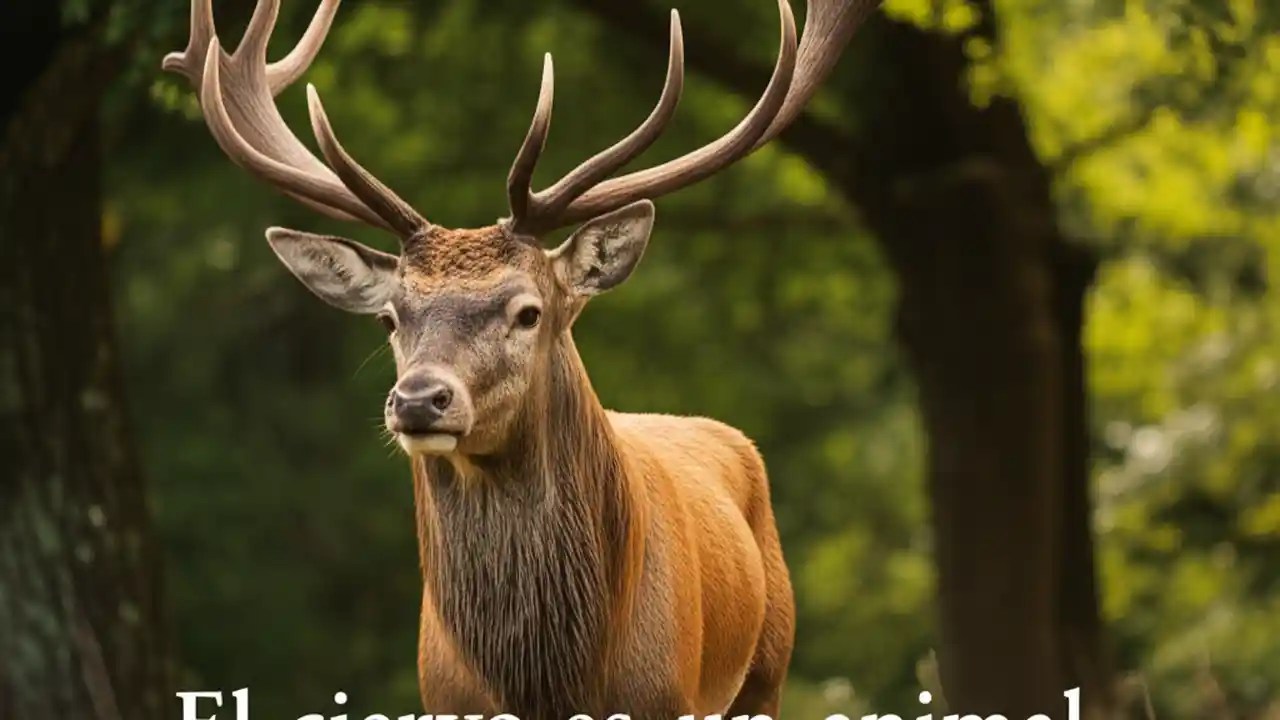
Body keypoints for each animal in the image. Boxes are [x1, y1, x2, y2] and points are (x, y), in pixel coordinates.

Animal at [163, 0, 876, 716]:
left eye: (529, 312)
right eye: (391, 318)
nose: (419, 399)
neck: (546, 684)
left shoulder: (664, 695)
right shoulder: (442, 697)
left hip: (768, 666)